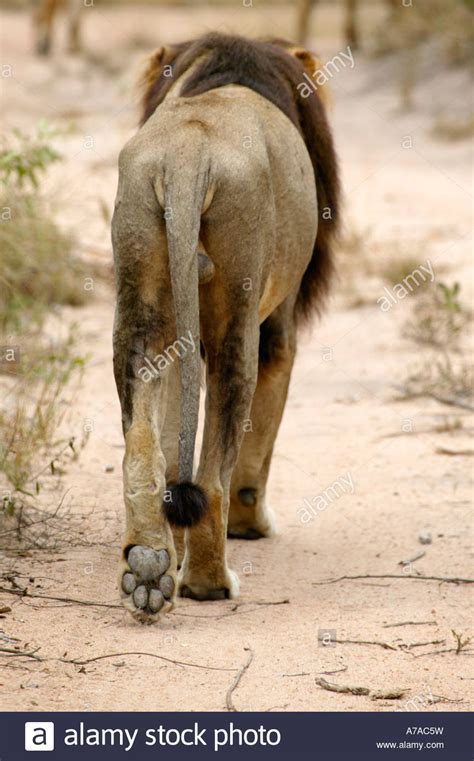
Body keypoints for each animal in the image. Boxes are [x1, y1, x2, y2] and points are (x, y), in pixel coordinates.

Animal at [112, 32, 340, 622]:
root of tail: (190, 153)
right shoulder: (279, 328)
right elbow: (258, 443)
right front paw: (252, 525)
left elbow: (173, 427)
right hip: (241, 319)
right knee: (214, 478)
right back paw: (210, 581)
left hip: (141, 303)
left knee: (144, 450)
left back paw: (149, 568)